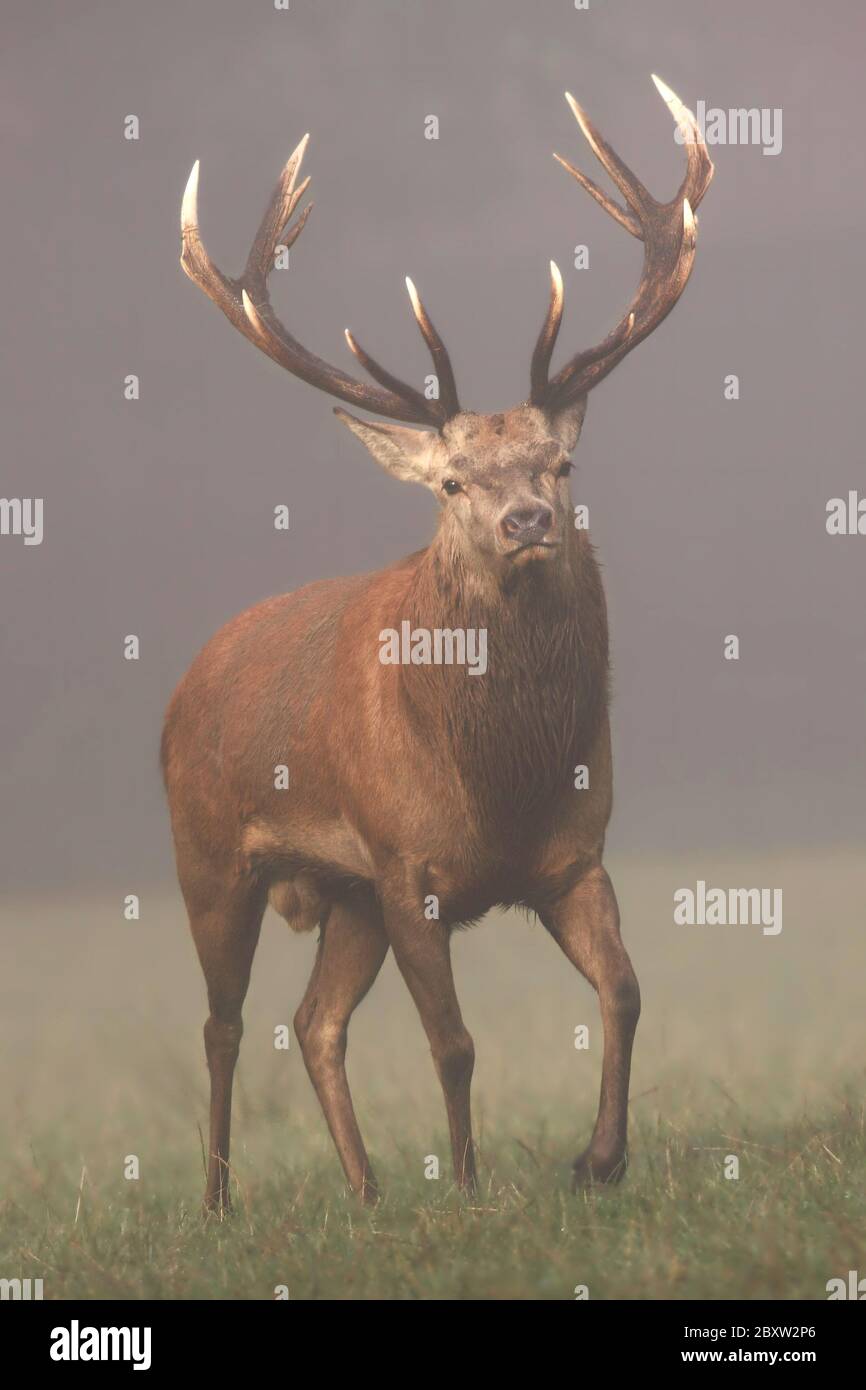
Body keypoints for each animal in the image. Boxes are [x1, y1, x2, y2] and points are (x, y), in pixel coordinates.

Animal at [162, 75, 713, 1211]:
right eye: (453, 481)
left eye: (558, 464)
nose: (527, 521)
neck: (501, 776)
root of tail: (181, 688)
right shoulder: (404, 860)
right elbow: (452, 1043)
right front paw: (465, 1190)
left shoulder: (571, 853)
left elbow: (625, 990)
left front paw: (597, 1159)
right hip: (211, 857)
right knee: (225, 1023)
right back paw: (220, 1202)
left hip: (344, 895)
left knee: (314, 1021)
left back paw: (367, 1195)